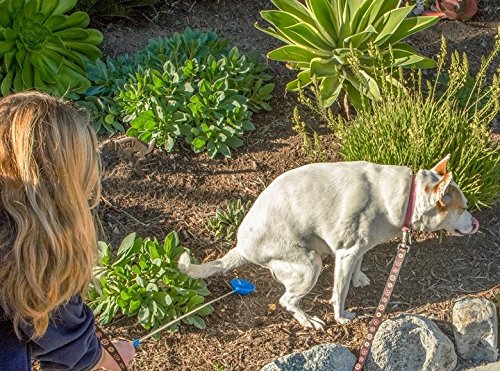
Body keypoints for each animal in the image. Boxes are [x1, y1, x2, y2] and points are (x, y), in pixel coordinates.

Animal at [178, 155, 478, 330]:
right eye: (463, 209)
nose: (476, 224)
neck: (409, 197)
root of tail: (242, 246)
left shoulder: (357, 247)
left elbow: (359, 263)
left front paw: (359, 279)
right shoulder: (345, 253)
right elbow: (339, 292)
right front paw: (341, 316)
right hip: (309, 264)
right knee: (287, 299)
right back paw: (309, 320)